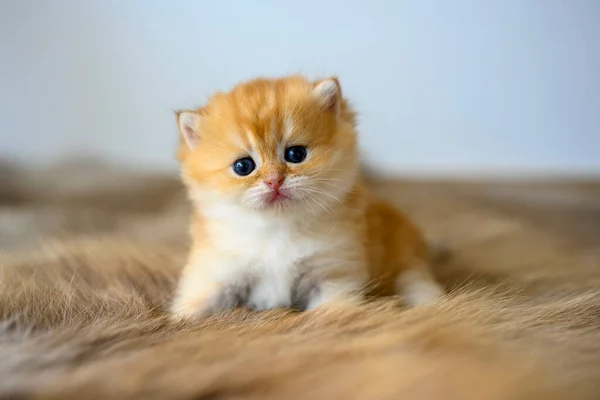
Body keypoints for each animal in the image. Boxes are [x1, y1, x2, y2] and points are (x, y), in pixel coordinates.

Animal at [169, 75, 440, 318]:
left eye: (296, 154)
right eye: (243, 166)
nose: (274, 180)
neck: (278, 229)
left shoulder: (333, 275)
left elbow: (331, 310)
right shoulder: (219, 270)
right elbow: (198, 303)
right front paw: (183, 317)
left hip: (404, 255)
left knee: (415, 280)